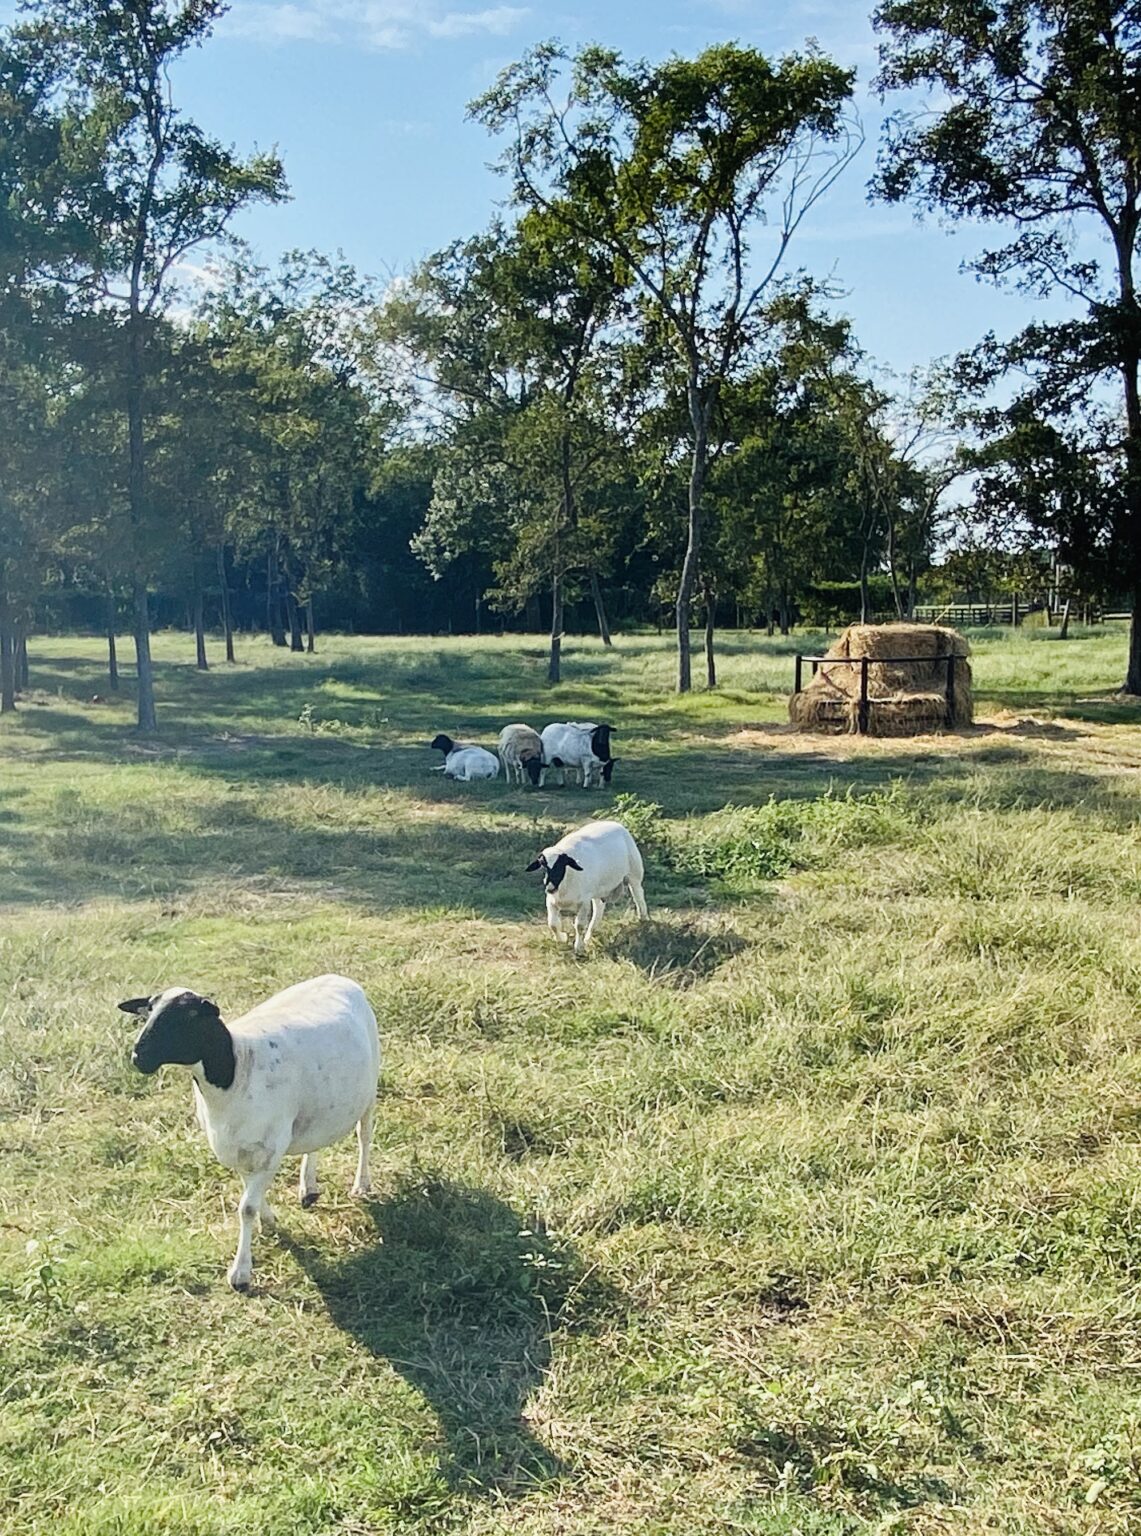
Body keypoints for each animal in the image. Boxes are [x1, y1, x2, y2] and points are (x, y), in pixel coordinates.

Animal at [120, 973, 381, 1292]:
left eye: (189, 1015)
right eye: (148, 1011)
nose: (138, 1057)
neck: (236, 1069)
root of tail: (338, 977)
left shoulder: (268, 1150)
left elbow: (246, 1207)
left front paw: (241, 1274)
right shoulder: (238, 1148)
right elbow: (250, 1198)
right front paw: (268, 1220)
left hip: (370, 1089)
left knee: (364, 1137)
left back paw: (361, 1185)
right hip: (316, 1103)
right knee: (314, 1139)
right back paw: (308, 1187)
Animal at [526, 818, 648, 954]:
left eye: (561, 865)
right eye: (543, 865)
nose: (550, 888)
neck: (567, 880)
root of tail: (615, 823)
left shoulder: (584, 902)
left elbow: (579, 926)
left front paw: (578, 948)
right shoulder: (551, 901)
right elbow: (552, 924)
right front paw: (562, 938)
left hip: (634, 874)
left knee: (638, 896)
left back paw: (643, 920)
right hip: (599, 890)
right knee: (599, 909)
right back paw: (589, 938)